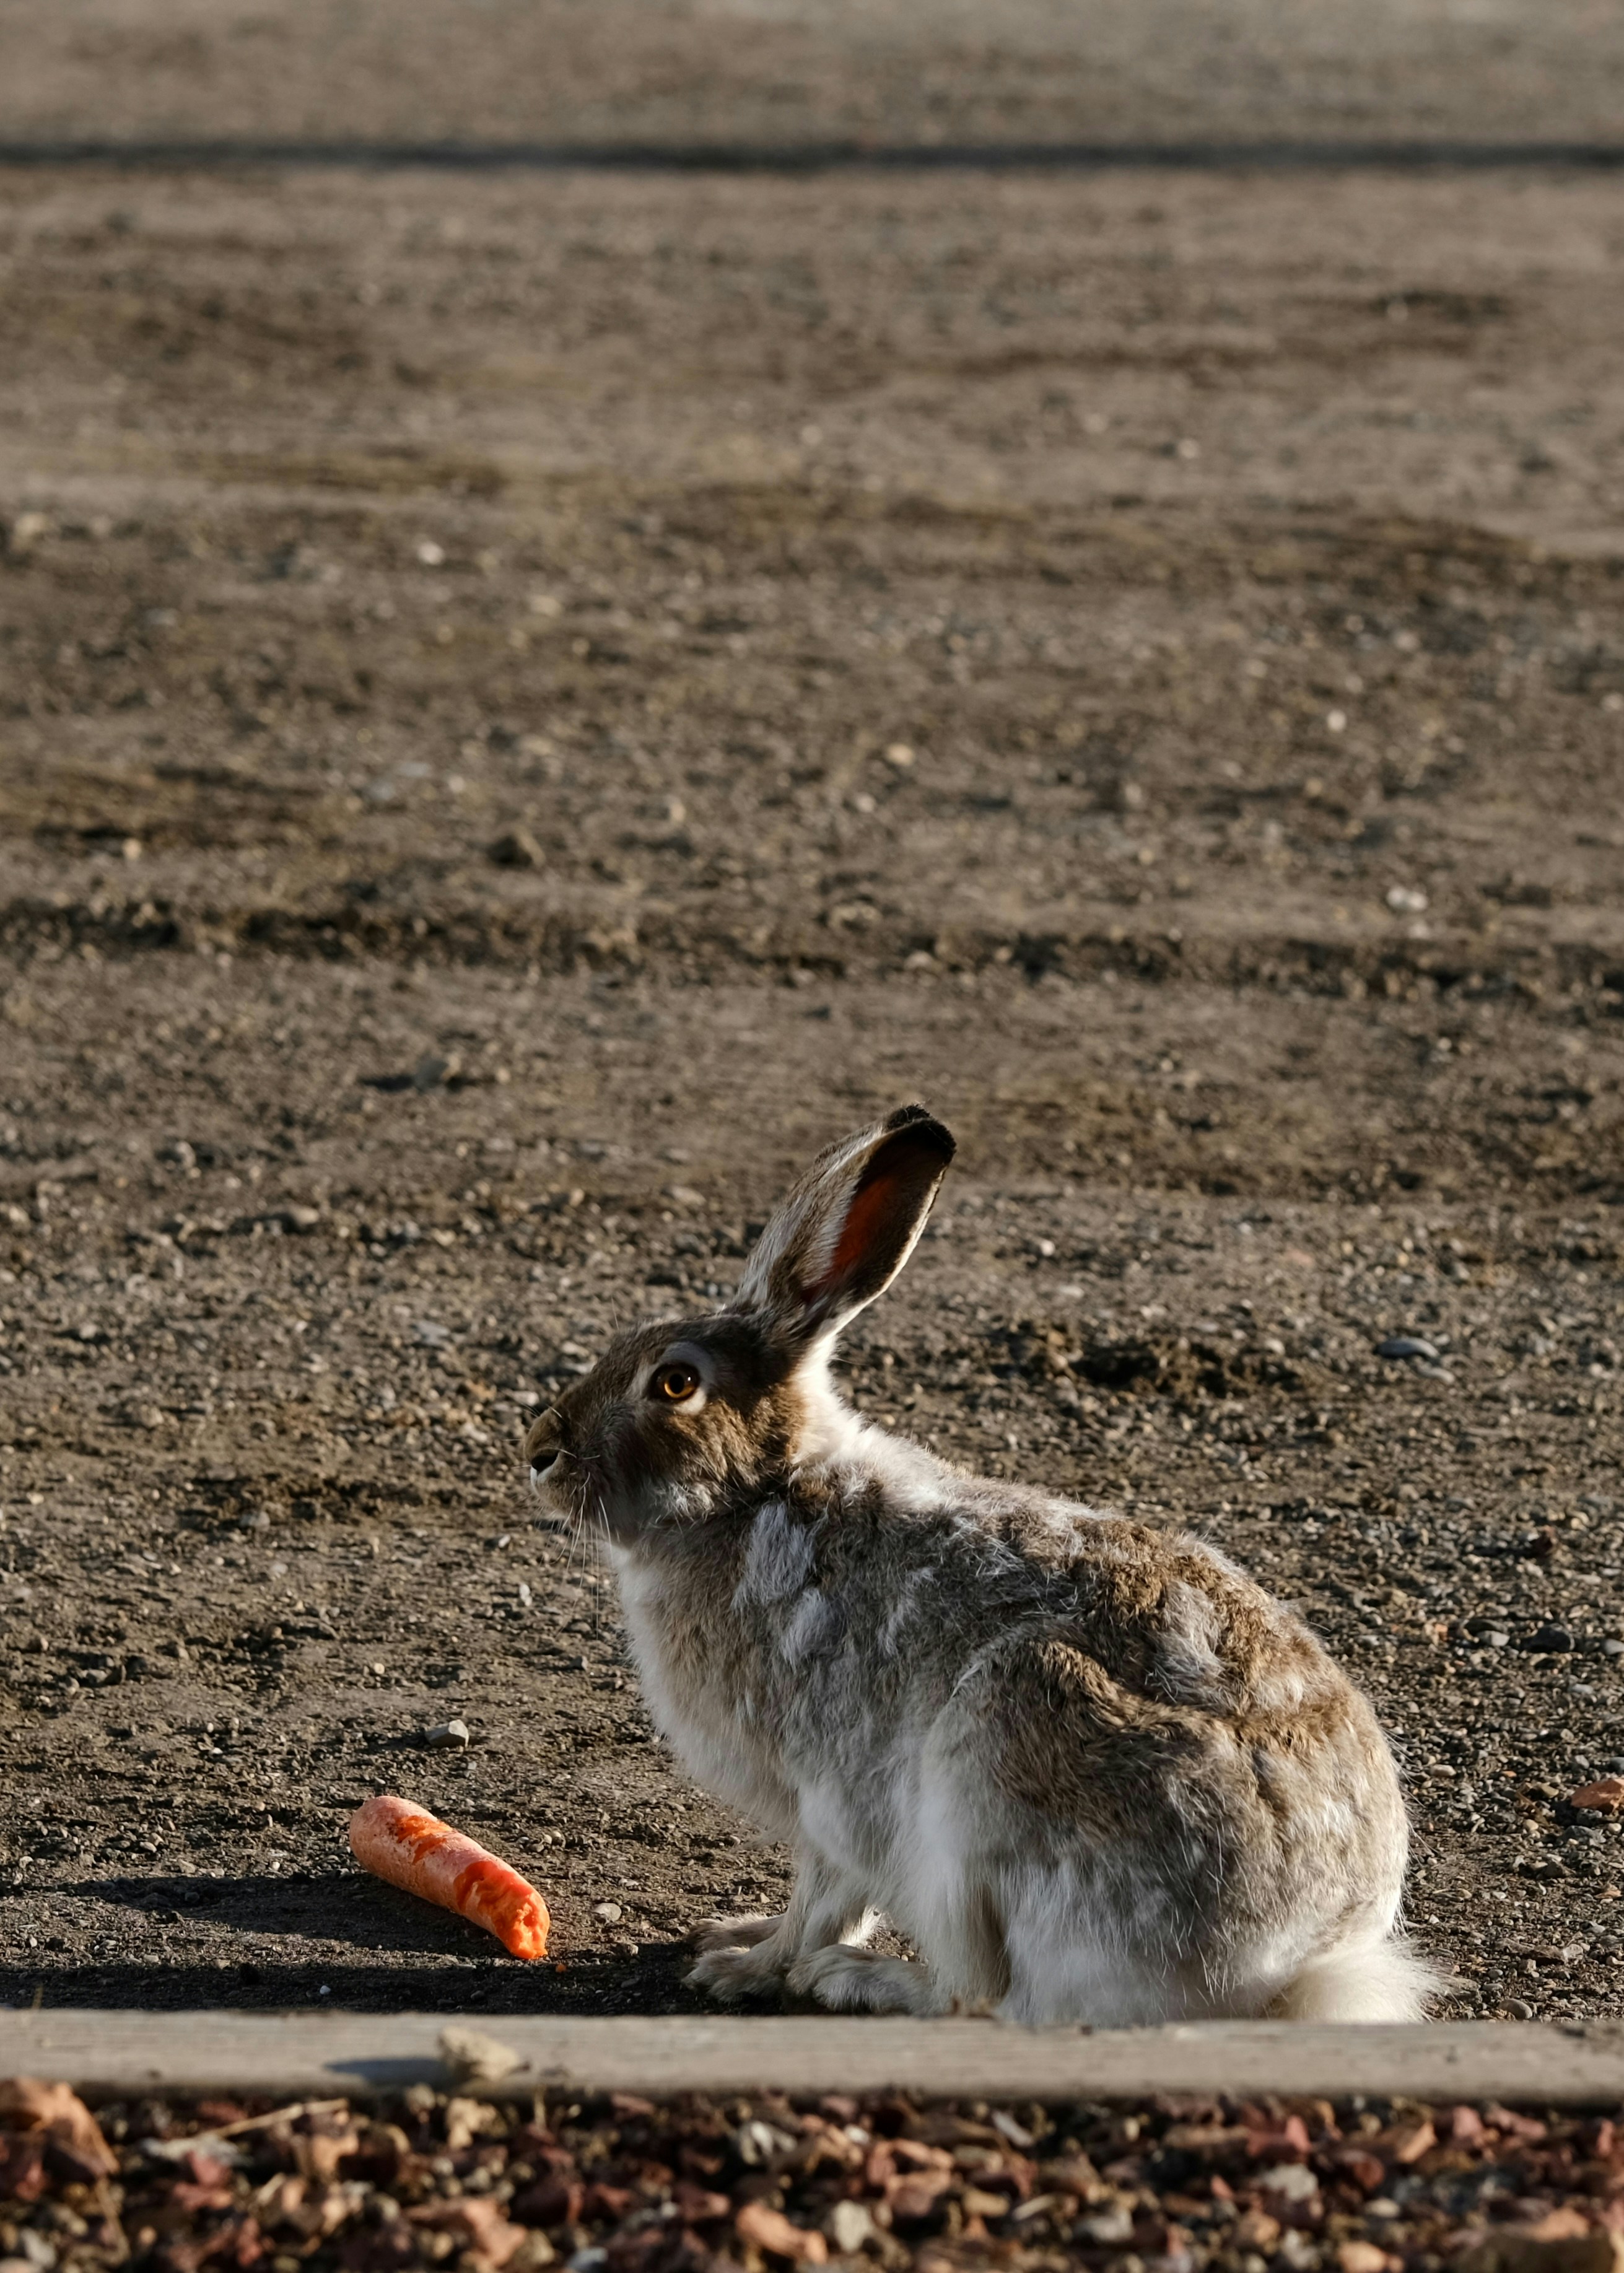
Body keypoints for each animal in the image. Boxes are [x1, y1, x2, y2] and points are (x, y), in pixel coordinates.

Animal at [524, 1104, 1435, 2025]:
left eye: (675, 1383)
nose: (538, 1451)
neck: (761, 1488)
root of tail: (1284, 1968)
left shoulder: (833, 1797)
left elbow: (823, 1900)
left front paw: (747, 1965)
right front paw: (738, 1932)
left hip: (995, 1767)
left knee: (986, 2000)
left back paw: (858, 1981)